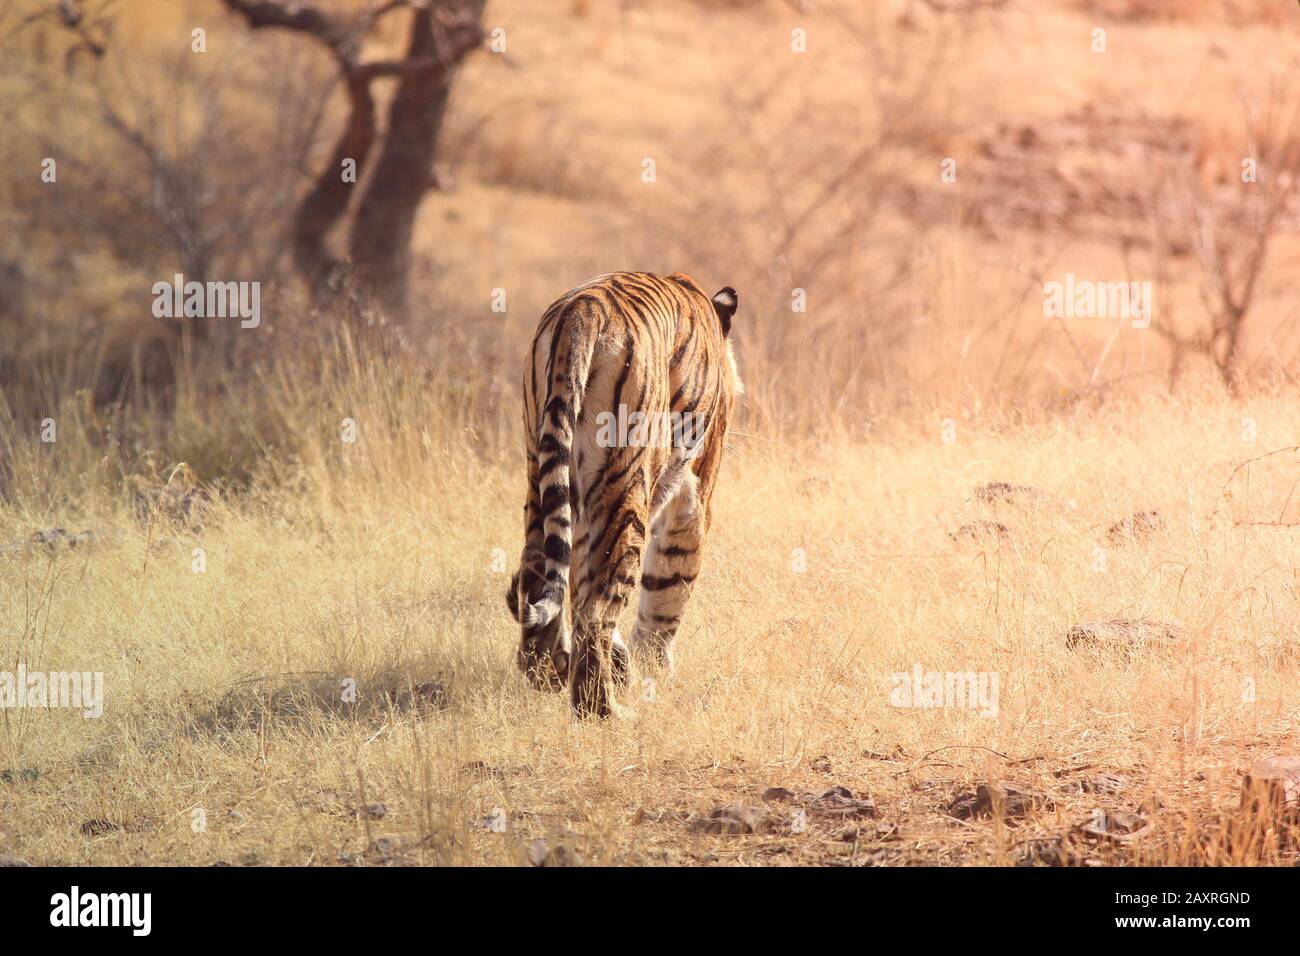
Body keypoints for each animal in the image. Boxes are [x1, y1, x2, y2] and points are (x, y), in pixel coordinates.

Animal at [505, 272, 741, 719]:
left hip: (542, 474)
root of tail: (580, 312)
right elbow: (668, 585)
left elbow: (576, 582)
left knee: (537, 575)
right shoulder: (694, 494)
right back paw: (606, 712)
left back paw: (548, 671)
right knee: (596, 614)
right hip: (625, 488)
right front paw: (652, 668)